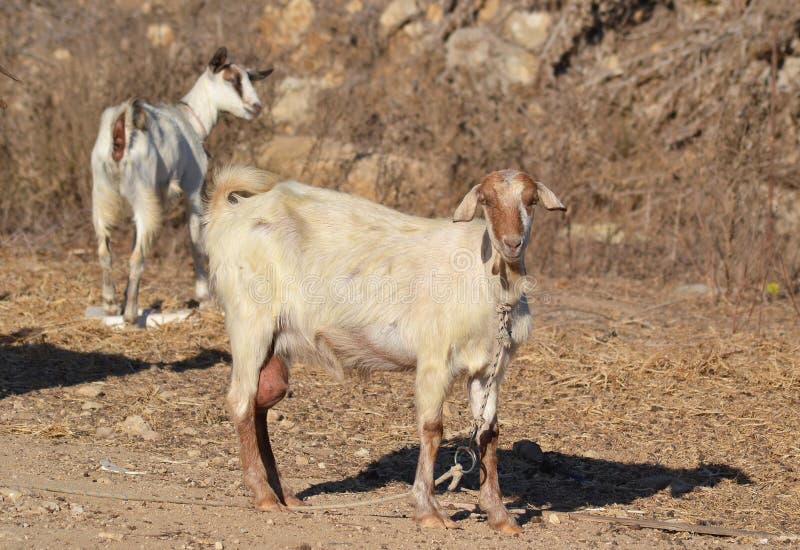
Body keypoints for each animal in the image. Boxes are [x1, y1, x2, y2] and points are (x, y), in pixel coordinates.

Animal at [90, 47, 273, 323]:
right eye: (231, 79)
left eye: (249, 78)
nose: (256, 107)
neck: (190, 119)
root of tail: (122, 124)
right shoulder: (194, 190)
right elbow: (196, 241)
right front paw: (204, 297)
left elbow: (133, 239)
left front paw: (123, 300)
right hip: (142, 194)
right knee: (136, 256)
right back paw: (131, 314)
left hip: (103, 193)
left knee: (105, 250)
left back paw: (111, 305)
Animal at [204, 166, 565, 533]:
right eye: (487, 200)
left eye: (531, 200)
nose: (511, 243)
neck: (489, 281)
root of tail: (227, 214)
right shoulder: (435, 359)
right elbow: (432, 429)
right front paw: (428, 510)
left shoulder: (490, 367)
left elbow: (488, 434)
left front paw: (500, 515)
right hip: (249, 320)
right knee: (241, 400)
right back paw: (263, 494)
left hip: (274, 341)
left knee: (262, 402)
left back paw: (283, 493)